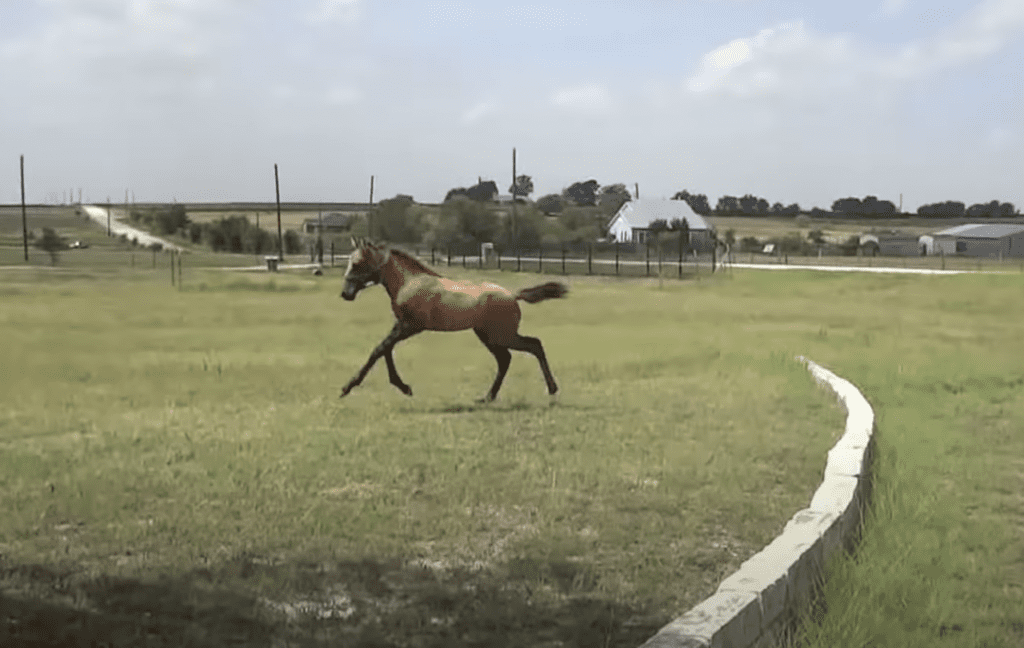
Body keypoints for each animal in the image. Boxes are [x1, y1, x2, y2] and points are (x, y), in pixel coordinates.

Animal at [339, 237, 568, 402]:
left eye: (357, 263)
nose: (345, 294)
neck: (409, 281)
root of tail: (513, 294)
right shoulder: (401, 325)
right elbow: (386, 349)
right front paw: (403, 387)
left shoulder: (410, 326)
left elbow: (380, 349)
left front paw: (347, 387)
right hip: (488, 336)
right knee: (506, 359)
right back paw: (488, 397)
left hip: (501, 336)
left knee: (533, 345)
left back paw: (551, 389)